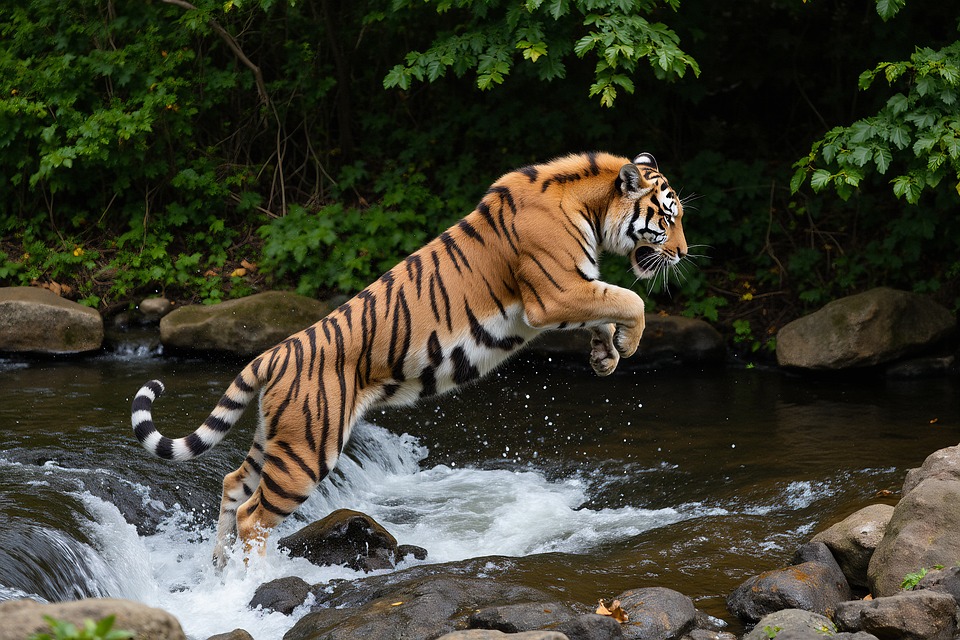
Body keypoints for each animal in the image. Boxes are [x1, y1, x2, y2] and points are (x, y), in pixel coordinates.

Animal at [131, 151, 688, 568]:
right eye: (668, 216)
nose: (684, 253)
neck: (590, 206)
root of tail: (273, 351)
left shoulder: (568, 295)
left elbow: (608, 306)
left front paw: (605, 357)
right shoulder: (554, 294)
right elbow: (629, 299)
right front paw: (627, 346)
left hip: (277, 437)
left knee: (231, 485)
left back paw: (218, 570)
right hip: (308, 450)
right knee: (253, 516)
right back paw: (251, 580)